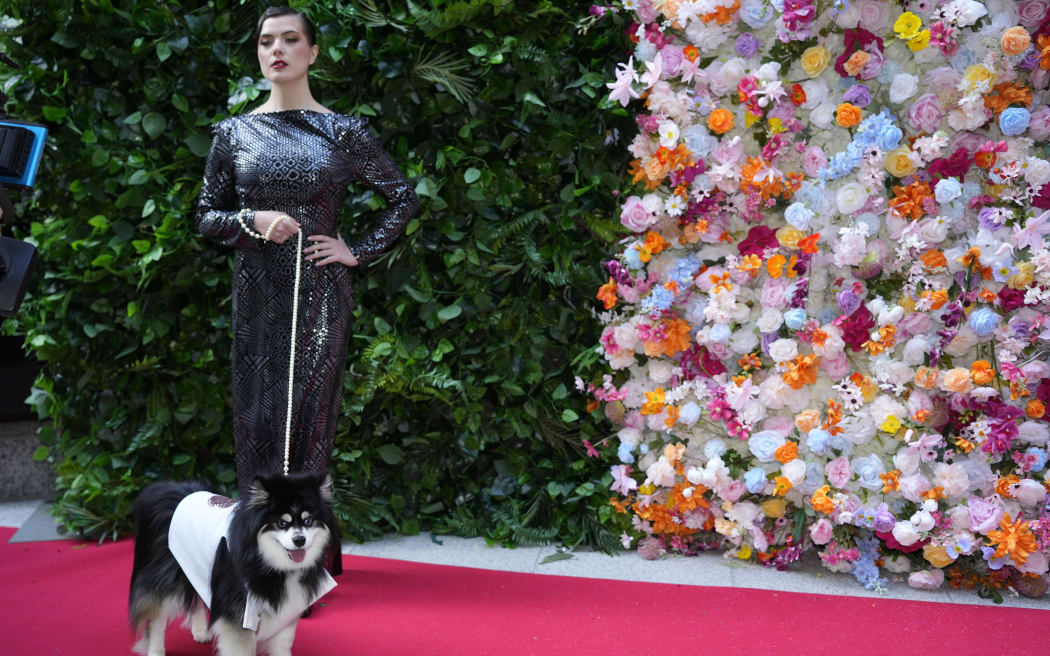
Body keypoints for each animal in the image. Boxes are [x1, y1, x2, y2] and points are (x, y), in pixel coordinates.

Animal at [128, 470, 338, 654]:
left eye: (308, 521)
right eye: (282, 523)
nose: (299, 540)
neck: (264, 559)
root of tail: (168, 490)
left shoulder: (287, 609)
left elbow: (282, 646)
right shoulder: (238, 611)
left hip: (197, 568)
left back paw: (200, 632)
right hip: (166, 575)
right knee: (156, 617)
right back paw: (156, 650)